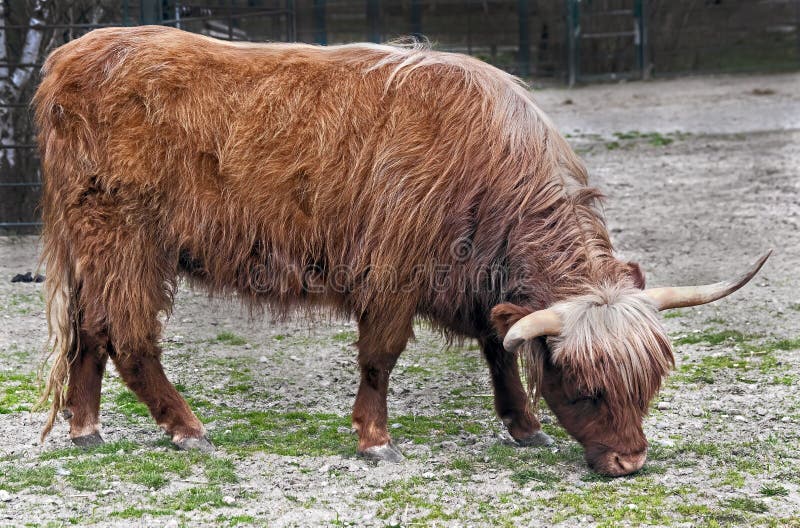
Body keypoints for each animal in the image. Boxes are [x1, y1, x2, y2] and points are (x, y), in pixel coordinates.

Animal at [33, 26, 768, 476]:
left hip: (97, 245)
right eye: (586, 387)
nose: (629, 464)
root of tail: (74, 55)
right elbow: (380, 358)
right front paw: (375, 440)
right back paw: (185, 426)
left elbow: (499, 349)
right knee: (129, 336)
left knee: (89, 332)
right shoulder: (392, 272)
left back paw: (85, 428)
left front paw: (523, 424)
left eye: (648, 384)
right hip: (126, 237)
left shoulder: (478, 283)